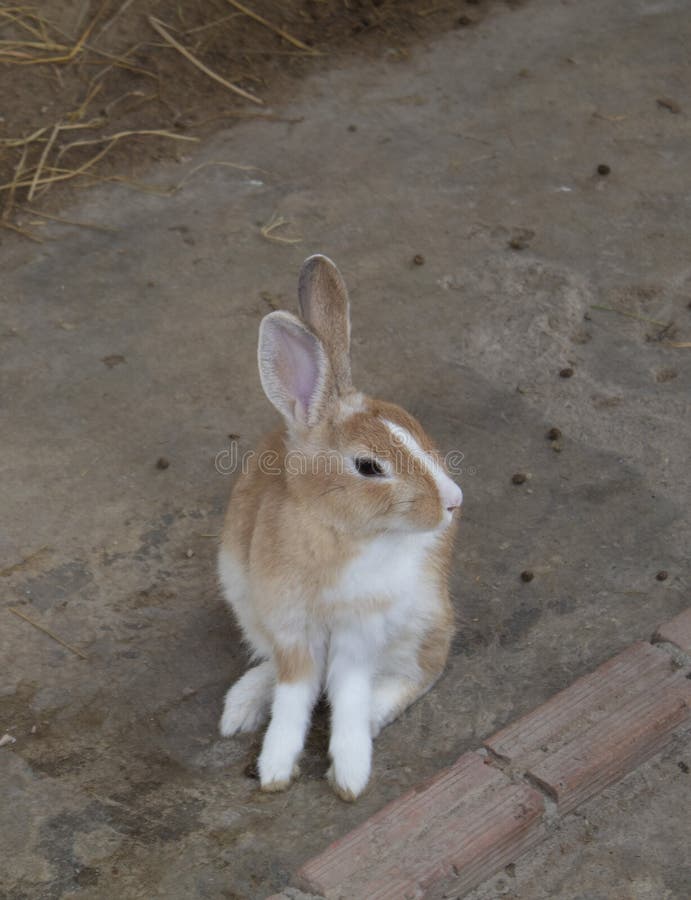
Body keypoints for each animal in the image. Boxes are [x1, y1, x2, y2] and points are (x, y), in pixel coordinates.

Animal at [218, 254, 463, 801]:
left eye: (417, 429)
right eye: (369, 467)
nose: (454, 501)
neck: (336, 532)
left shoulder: (359, 636)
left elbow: (349, 697)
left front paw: (350, 773)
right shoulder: (291, 629)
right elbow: (292, 695)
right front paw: (275, 769)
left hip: (424, 619)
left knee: (421, 671)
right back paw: (239, 710)